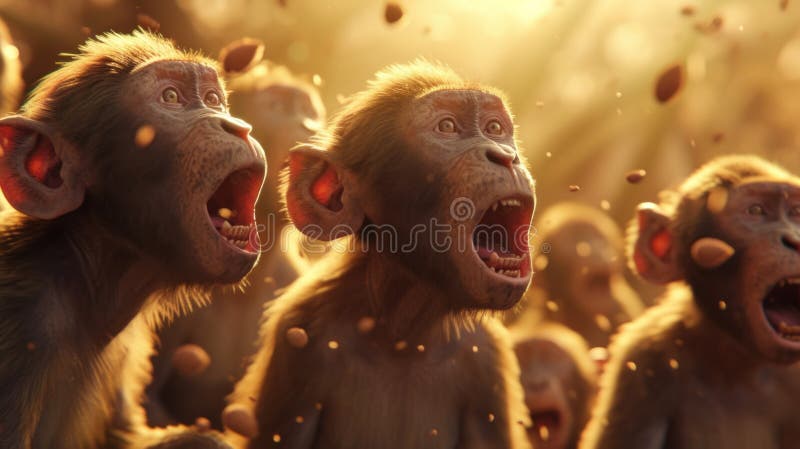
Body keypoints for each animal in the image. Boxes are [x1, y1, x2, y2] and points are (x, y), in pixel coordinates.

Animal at [226, 61, 535, 449]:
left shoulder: (488, 366)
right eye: (447, 127)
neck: (402, 331)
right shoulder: (299, 343)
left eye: (495, 129)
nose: (505, 155)